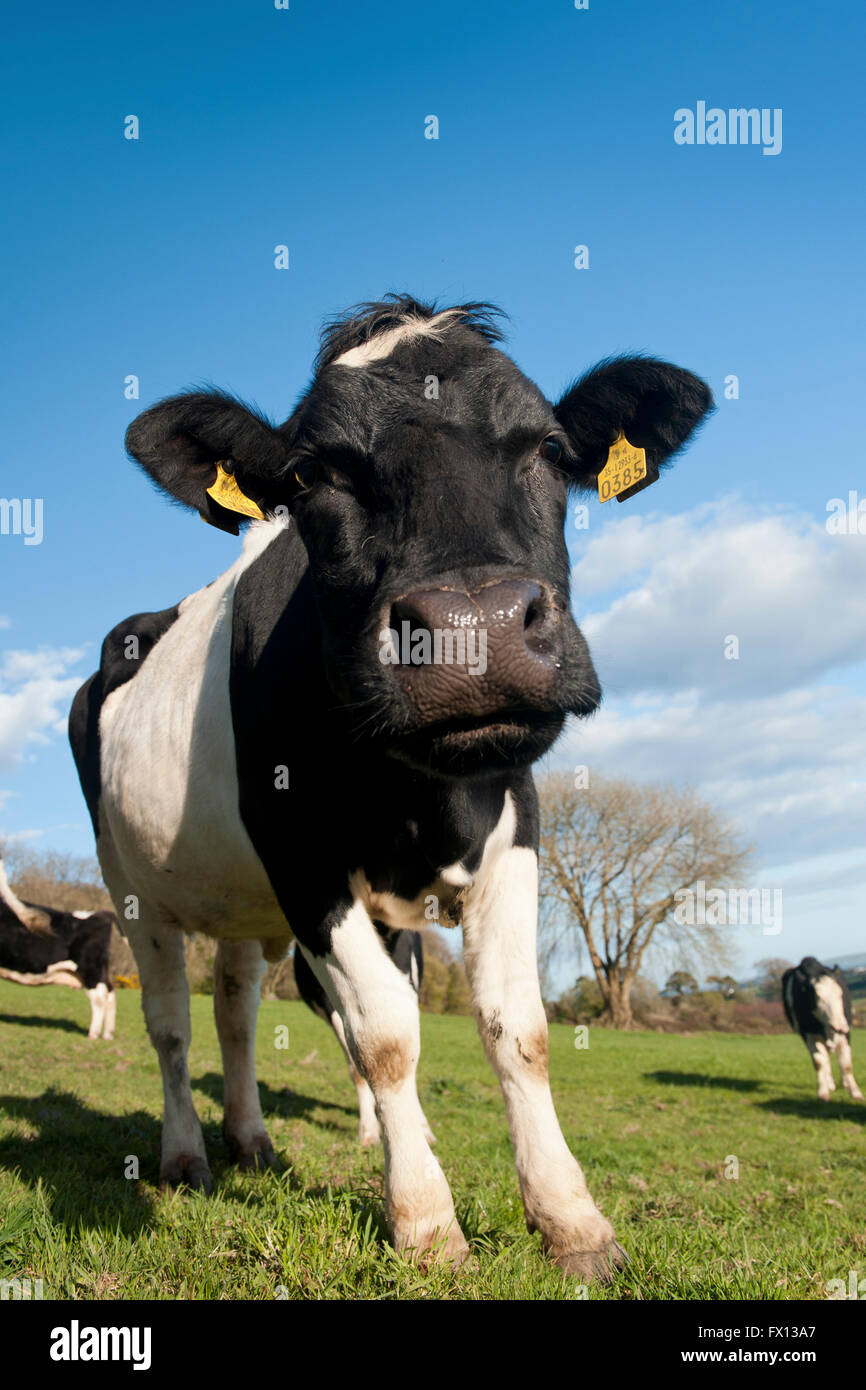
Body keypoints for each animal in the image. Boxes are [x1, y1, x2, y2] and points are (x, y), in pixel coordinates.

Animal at [0, 854, 117, 1039]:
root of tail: (100, 914)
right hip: (99, 969)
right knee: (110, 993)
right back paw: (107, 1034)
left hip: (89, 968)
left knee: (99, 998)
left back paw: (93, 1034)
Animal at [782, 956, 863, 1102]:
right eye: (817, 997)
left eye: (840, 993)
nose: (839, 1026)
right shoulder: (808, 1035)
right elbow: (819, 1062)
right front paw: (823, 1092)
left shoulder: (846, 1033)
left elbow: (846, 1065)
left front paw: (855, 1093)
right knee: (825, 1059)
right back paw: (829, 1083)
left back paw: (843, 1083)